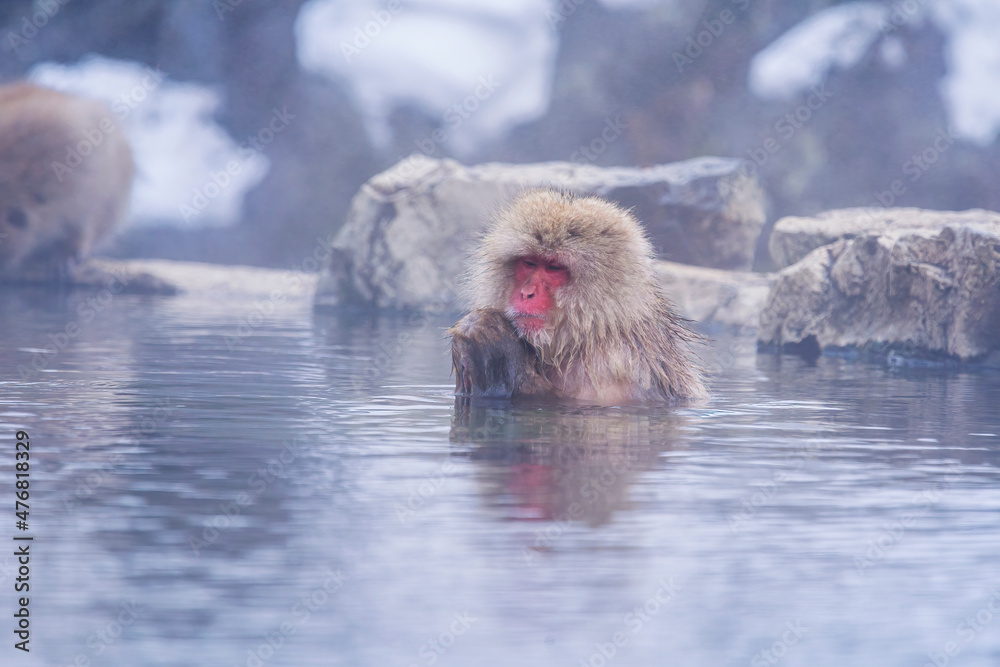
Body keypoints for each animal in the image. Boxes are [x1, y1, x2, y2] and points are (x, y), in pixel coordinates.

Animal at [448, 189, 707, 404]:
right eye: (529, 263)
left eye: (554, 268)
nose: (526, 293)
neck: (592, 333)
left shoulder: (613, 369)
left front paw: (487, 342)